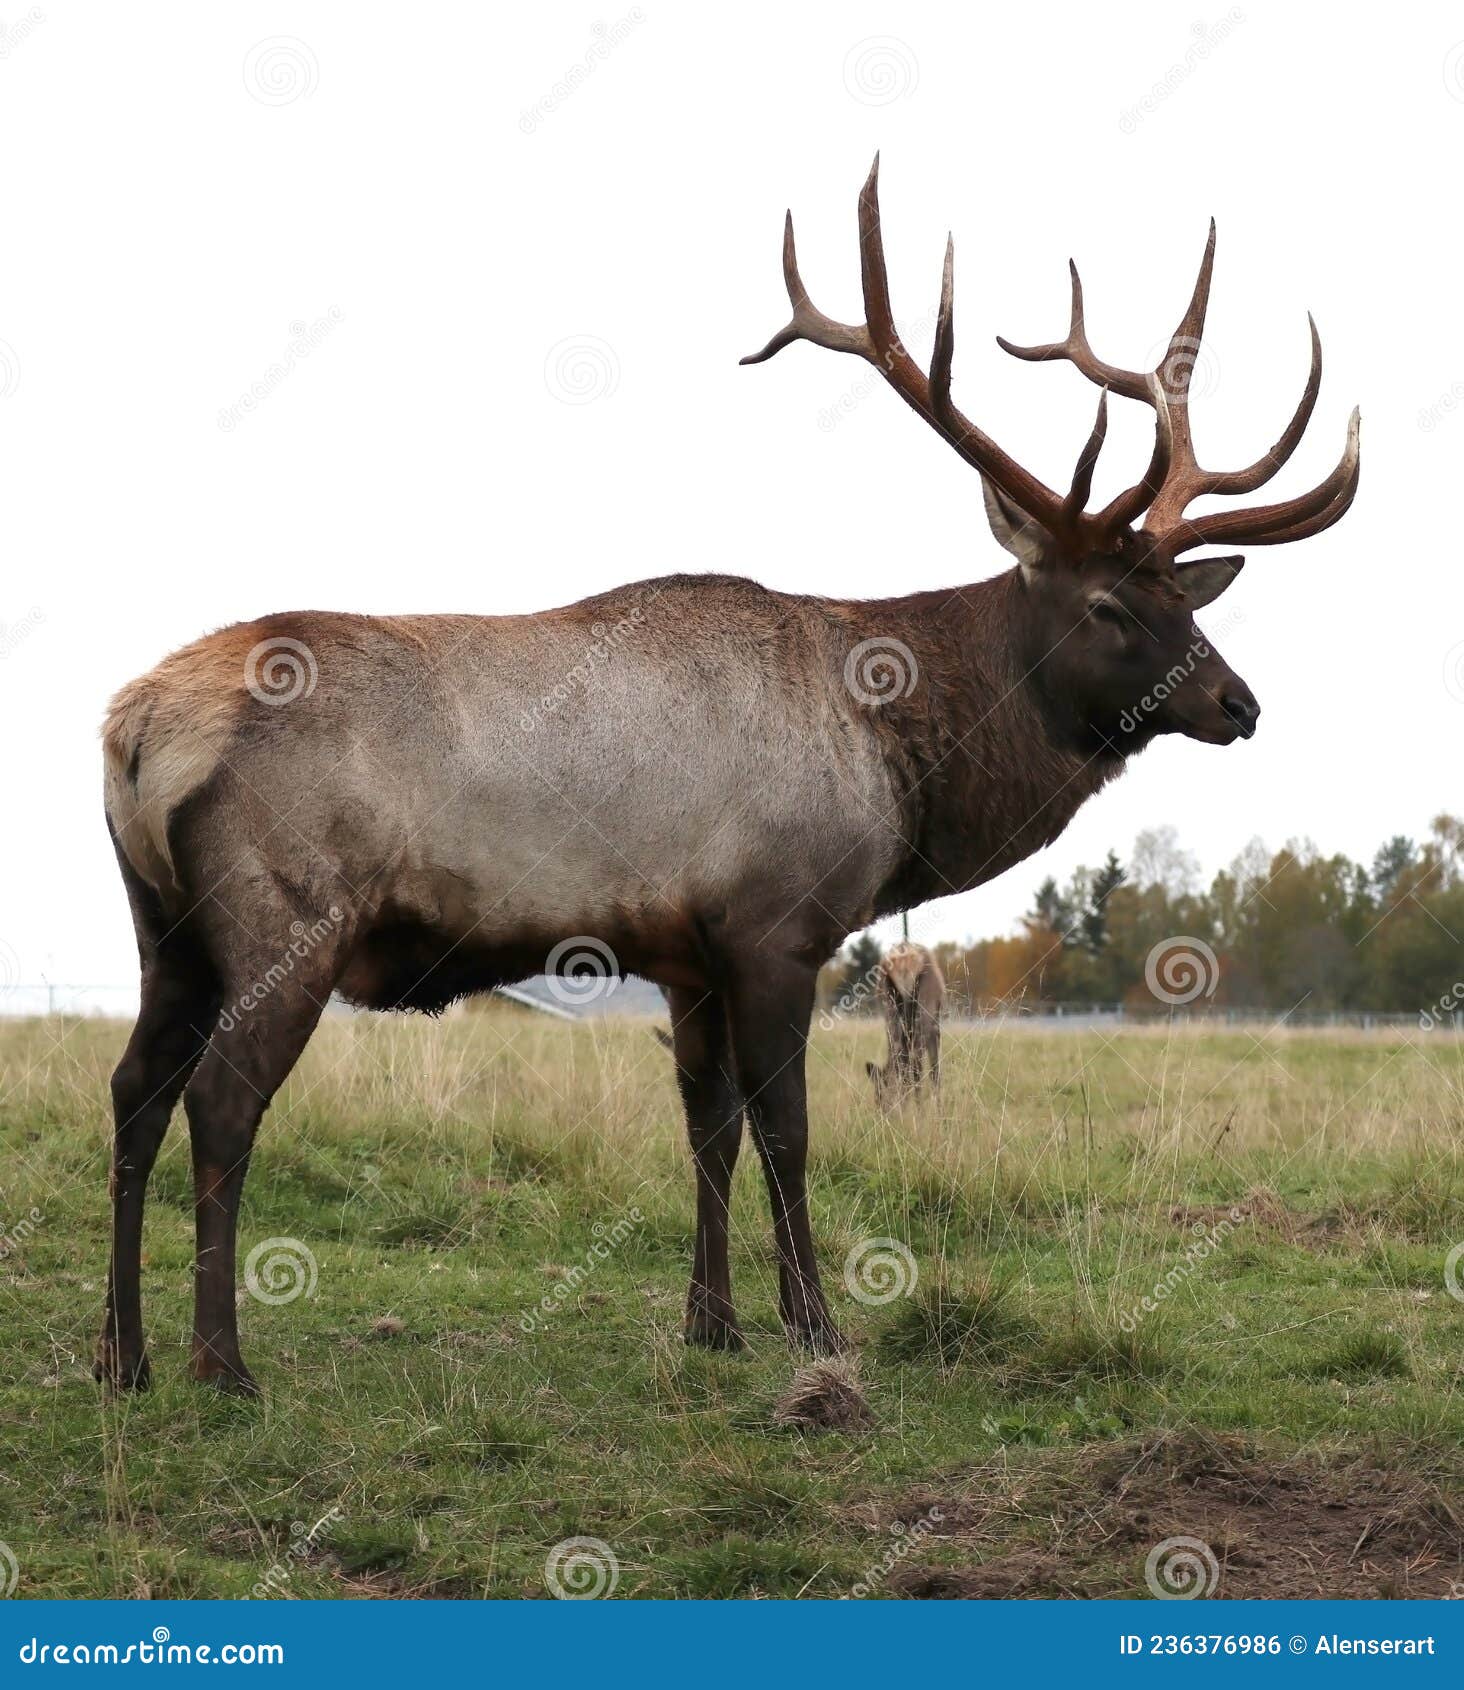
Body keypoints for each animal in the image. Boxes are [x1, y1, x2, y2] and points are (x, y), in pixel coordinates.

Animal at [865, 942, 945, 1109]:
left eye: (878, 1098)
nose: (884, 1111)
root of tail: (903, 964)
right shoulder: (935, 1027)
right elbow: (935, 1071)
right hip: (923, 1011)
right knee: (915, 1066)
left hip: (890, 1009)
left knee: (901, 1059)